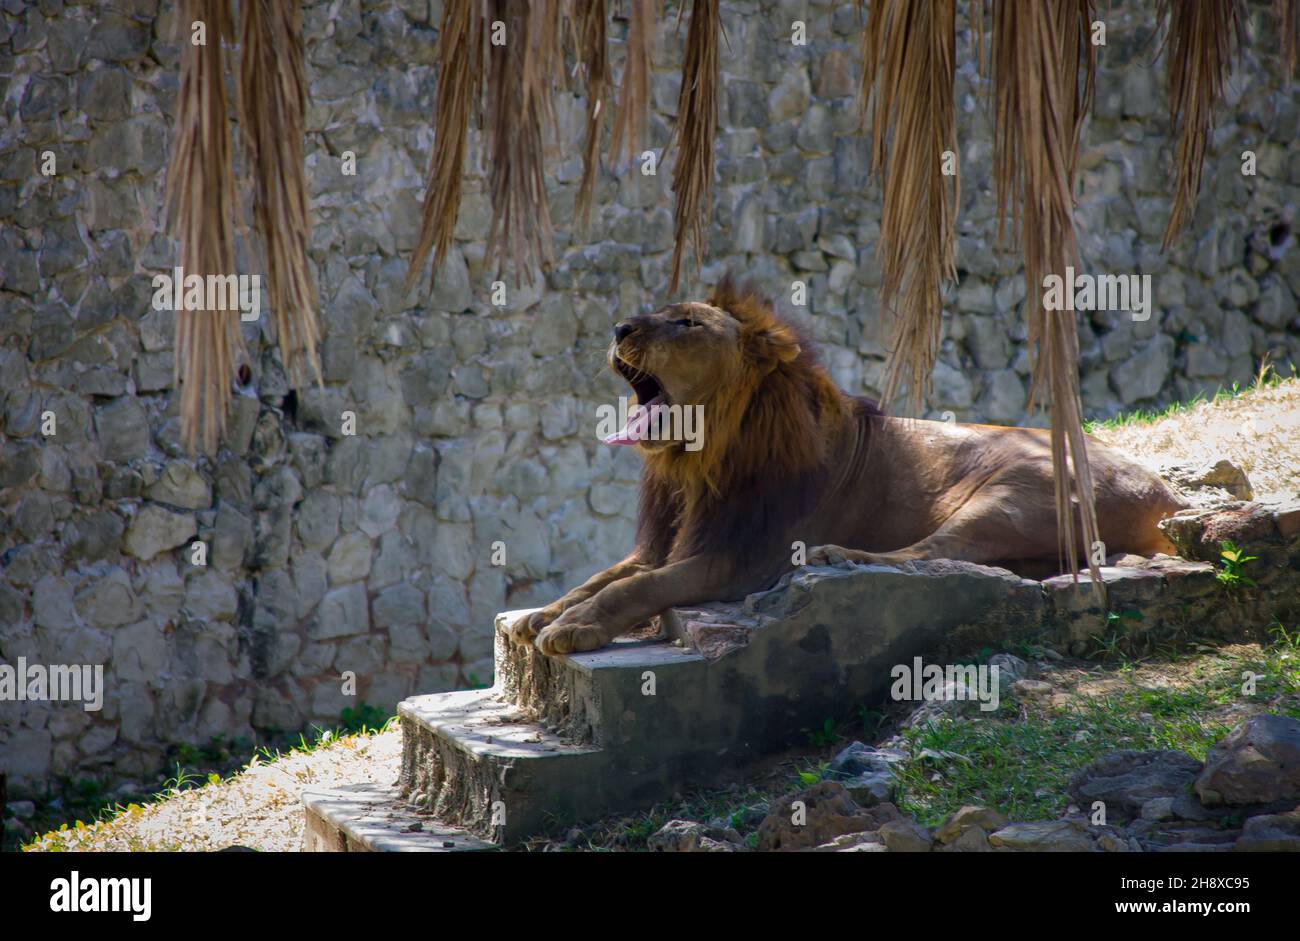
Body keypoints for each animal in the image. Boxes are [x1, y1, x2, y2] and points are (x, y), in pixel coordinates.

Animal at [514, 277, 1188, 656]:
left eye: (687, 323)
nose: (619, 326)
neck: (695, 463)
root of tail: (1166, 494)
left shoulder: (744, 559)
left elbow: (639, 586)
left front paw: (573, 628)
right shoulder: (665, 540)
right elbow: (601, 577)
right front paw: (543, 614)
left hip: (1014, 494)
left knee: (934, 555)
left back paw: (839, 556)